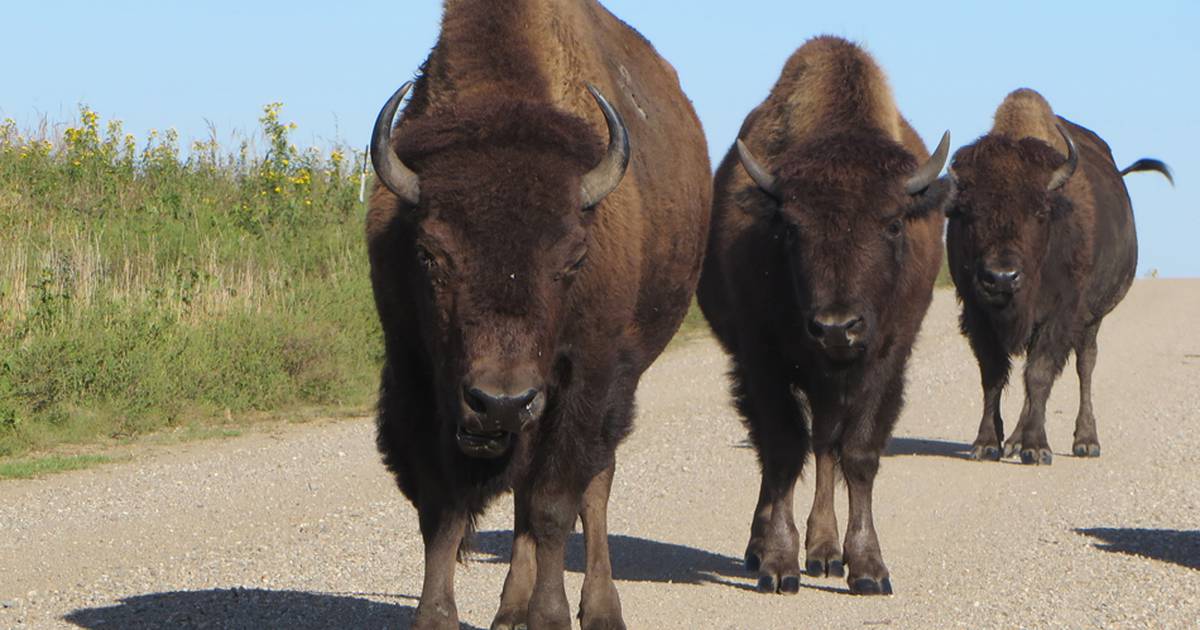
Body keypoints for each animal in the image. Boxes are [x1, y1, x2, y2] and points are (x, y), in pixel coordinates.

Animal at [365, 1, 710, 628]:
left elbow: (554, 504)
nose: (499, 403)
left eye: (573, 259)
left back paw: (597, 607)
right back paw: (509, 609)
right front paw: (436, 615)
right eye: (429, 254)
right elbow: (442, 508)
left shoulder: (585, 379)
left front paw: (549, 614)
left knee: (591, 487)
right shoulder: (416, 375)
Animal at [698, 36, 952, 596]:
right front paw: (777, 564)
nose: (837, 327)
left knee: (826, 448)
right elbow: (782, 449)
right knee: (788, 452)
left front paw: (868, 567)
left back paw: (825, 550)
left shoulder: (885, 361)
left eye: (893, 223)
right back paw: (768, 547)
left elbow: (857, 453)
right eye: (791, 228)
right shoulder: (762, 360)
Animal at [946, 88, 1172, 464]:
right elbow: (993, 375)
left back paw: (1085, 441)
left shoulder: (1062, 314)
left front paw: (1037, 448)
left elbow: (1039, 374)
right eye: (968, 211)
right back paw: (1015, 441)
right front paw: (987, 443)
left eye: (1039, 211)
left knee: (1085, 365)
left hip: (1092, 319)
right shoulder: (977, 313)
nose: (1002, 278)